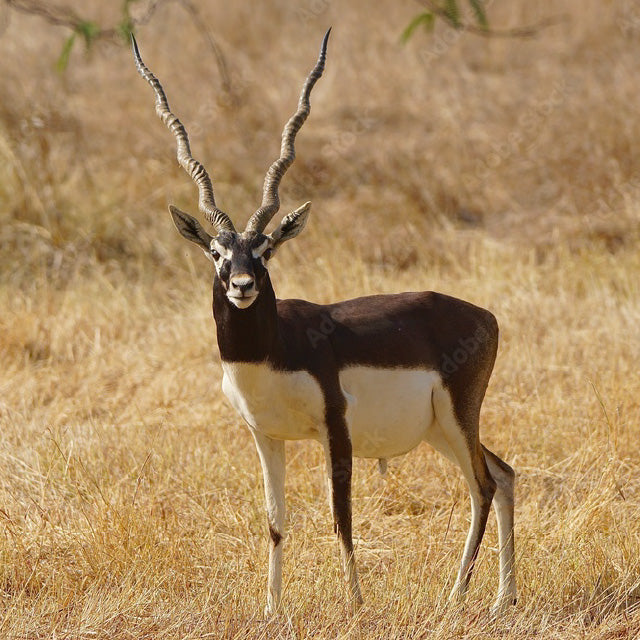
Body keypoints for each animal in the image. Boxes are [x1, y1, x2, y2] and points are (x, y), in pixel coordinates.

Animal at [132, 29, 516, 615]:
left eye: (265, 250)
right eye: (217, 253)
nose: (242, 285)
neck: (269, 352)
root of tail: (483, 315)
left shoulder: (336, 427)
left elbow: (341, 518)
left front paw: (354, 605)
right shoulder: (264, 435)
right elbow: (275, 521)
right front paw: (271, 610)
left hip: (457, 415)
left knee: (483, 485)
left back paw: (457, 597)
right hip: (439, 428)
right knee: (504, 473)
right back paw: (502, 600)